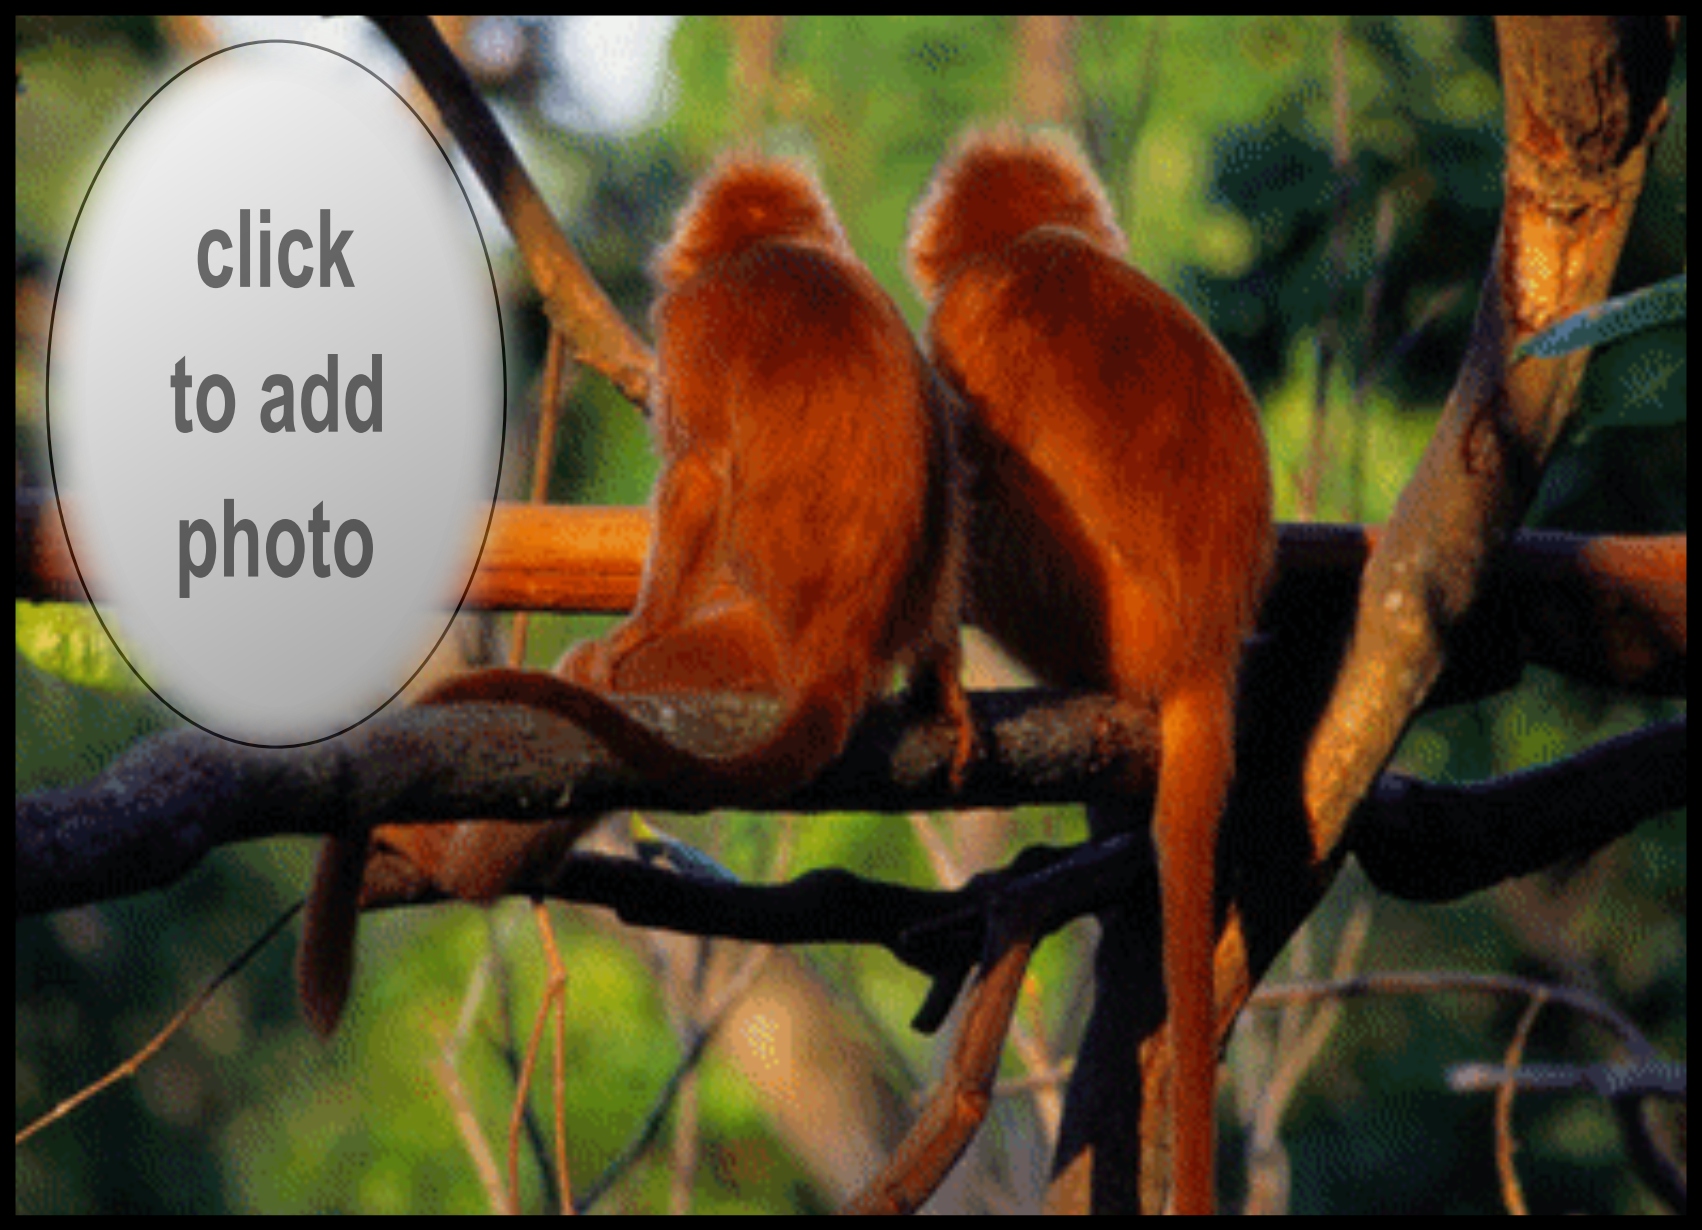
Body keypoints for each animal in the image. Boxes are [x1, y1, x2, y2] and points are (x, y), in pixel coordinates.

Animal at [298, 153, 971, 1037]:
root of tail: (842, 652)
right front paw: (951, 689)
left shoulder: (692, 319)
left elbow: (701, 472)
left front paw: (633, 629)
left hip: (741, 655)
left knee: (603, 695)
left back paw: (460, 866)